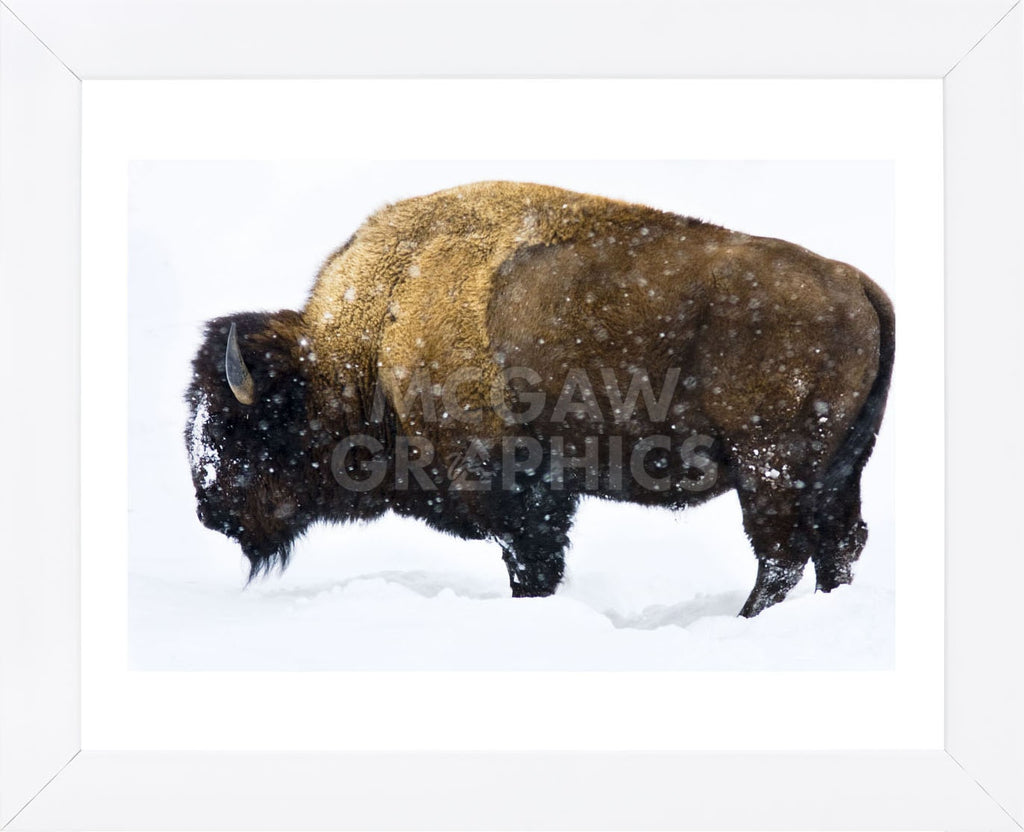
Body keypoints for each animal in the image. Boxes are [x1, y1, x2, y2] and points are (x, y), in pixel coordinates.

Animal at [186, 181, 894, 617]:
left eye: (236, 427)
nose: (207, 510)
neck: (378, 336)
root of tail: (856, 283)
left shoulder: (516, 499)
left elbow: (533, 570)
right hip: (837, 467)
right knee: (836, 544)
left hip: (769, 466)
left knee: (782, 553)